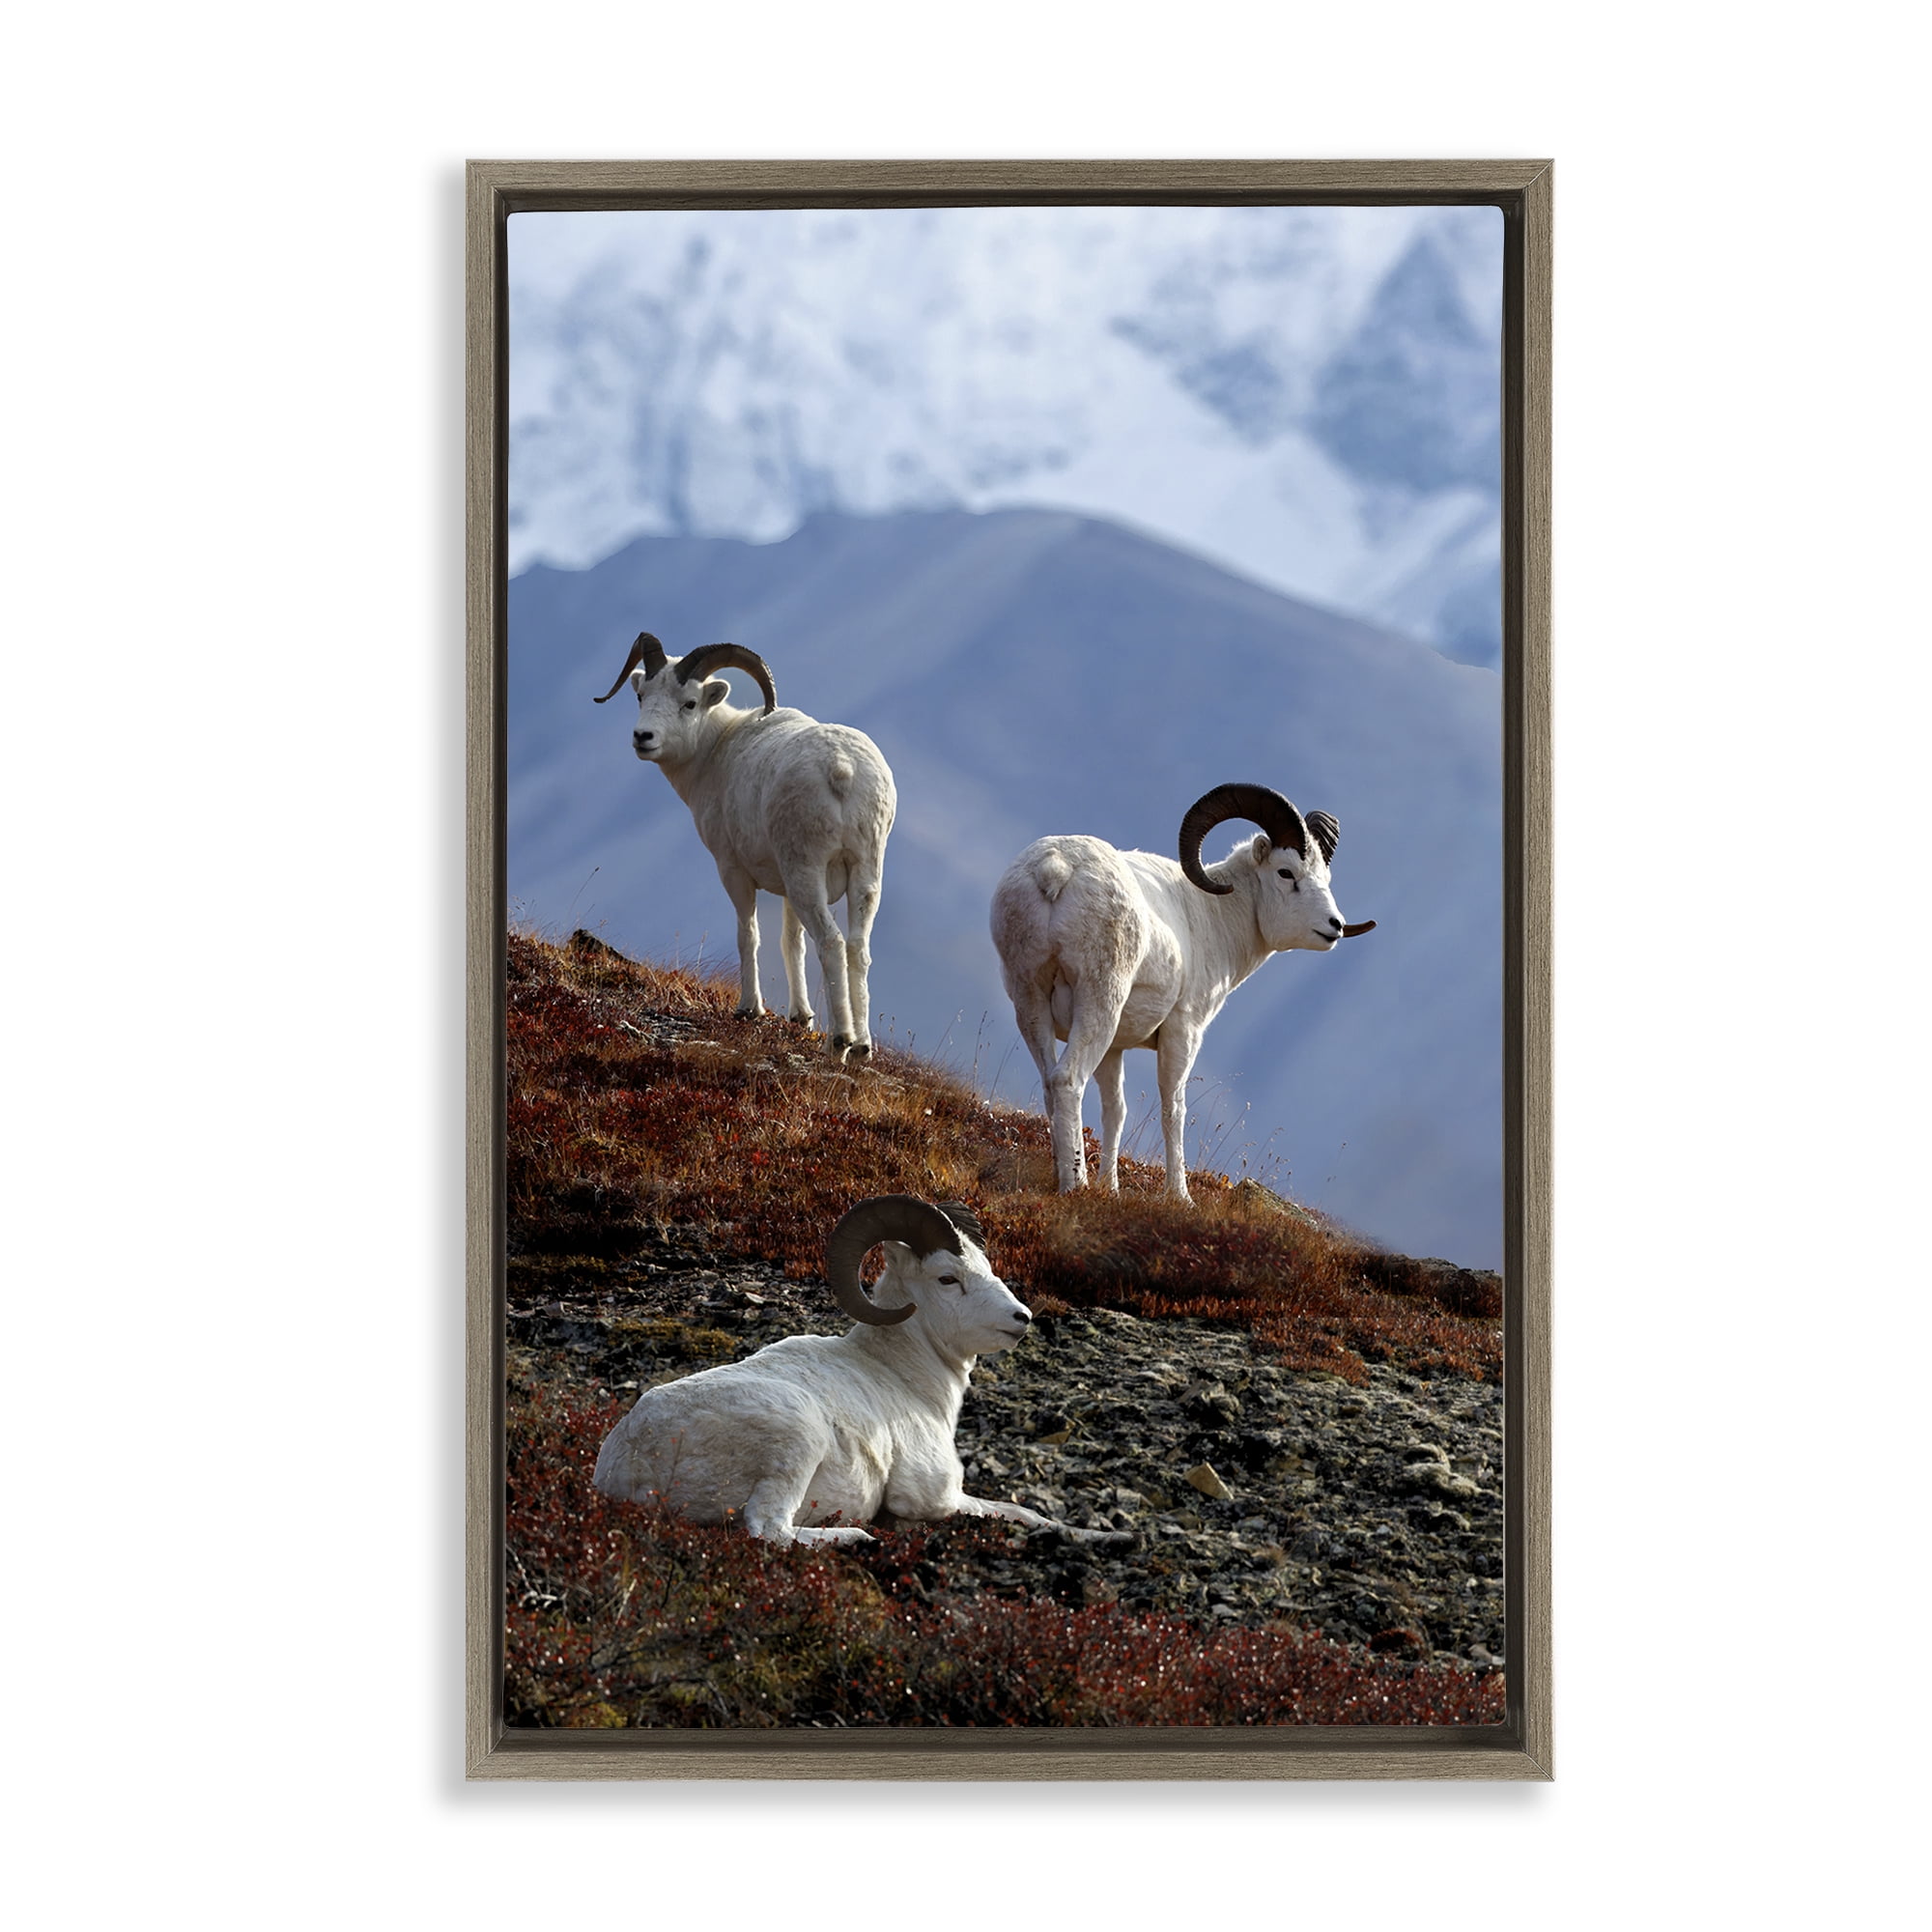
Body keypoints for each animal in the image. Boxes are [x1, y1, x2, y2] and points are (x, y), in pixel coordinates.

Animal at [593, 1195, 1098, 1546]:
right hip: (798, 1439)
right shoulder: (936, 1497)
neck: (905, 1378)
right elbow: (1025, 1513)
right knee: (769, 1530)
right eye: (947, 1278)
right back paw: (860, 1538)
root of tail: (633, 1466)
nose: (1021, 1318)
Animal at [595, 631, 895, 1059]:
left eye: (689, 702)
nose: (643, 738)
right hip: (864, 875)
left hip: (807, 874)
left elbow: (748, 935)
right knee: (857, 948)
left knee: (832, 943)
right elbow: (791, 943)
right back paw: (862, 1047)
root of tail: (842, 769)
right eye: (641, 695)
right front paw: (800, 1017)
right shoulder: (786, 889)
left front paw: (749, 1009)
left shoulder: (733, 870)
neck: (715, 752)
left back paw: (839, 1043)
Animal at [990, 784, 1377, 1201]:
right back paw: (1075, 1185)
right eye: (1286, 872)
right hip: (1099, 1004)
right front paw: (1180, 1196)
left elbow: (1115, 1111)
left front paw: (1112, 1189)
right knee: (1067, 1080)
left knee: (1050, 1082)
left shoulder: (1115, 1049)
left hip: (1030, 1001)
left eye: (1325, 876)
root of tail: (1057, 868)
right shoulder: (1183, 1031)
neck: (1214, 916)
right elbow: (1173, 1109)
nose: (1334, 926)